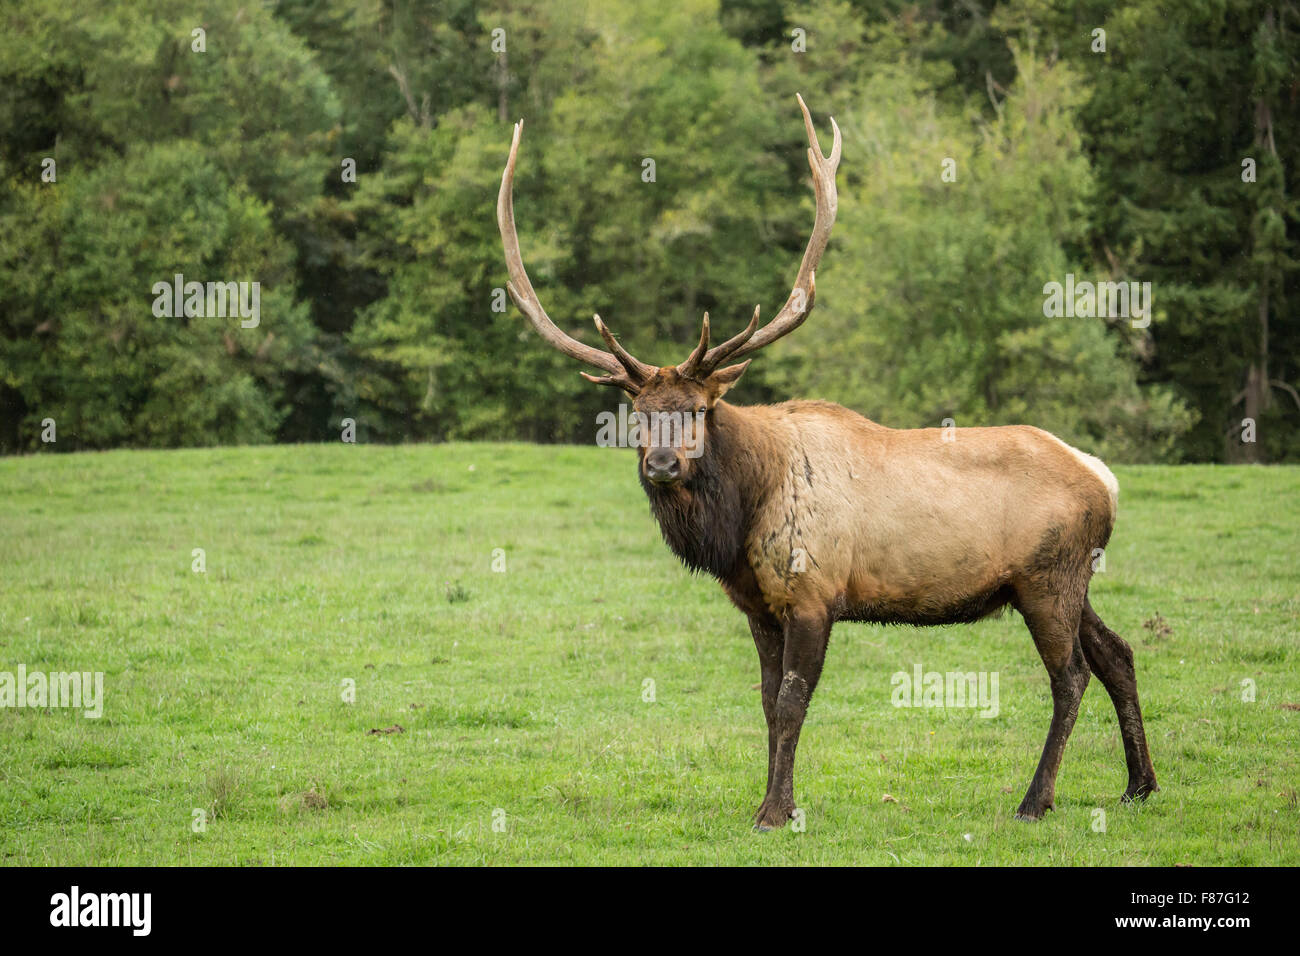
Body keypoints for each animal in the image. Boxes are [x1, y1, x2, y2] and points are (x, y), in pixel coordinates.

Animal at [496, 95, 1159, 830]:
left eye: (697, 409)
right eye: (638, 414)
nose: (663, 464)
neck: (741, 520)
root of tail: (1105, 479)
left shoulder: (814, 592)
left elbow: (791, 701)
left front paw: (774, 811)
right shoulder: (757, 604)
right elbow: (765, 702)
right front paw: (771, 800)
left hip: (1048, 575)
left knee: (1070, 674)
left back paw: (1035, 799)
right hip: (1068, 577)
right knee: (1118, 653)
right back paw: (1139, 785)